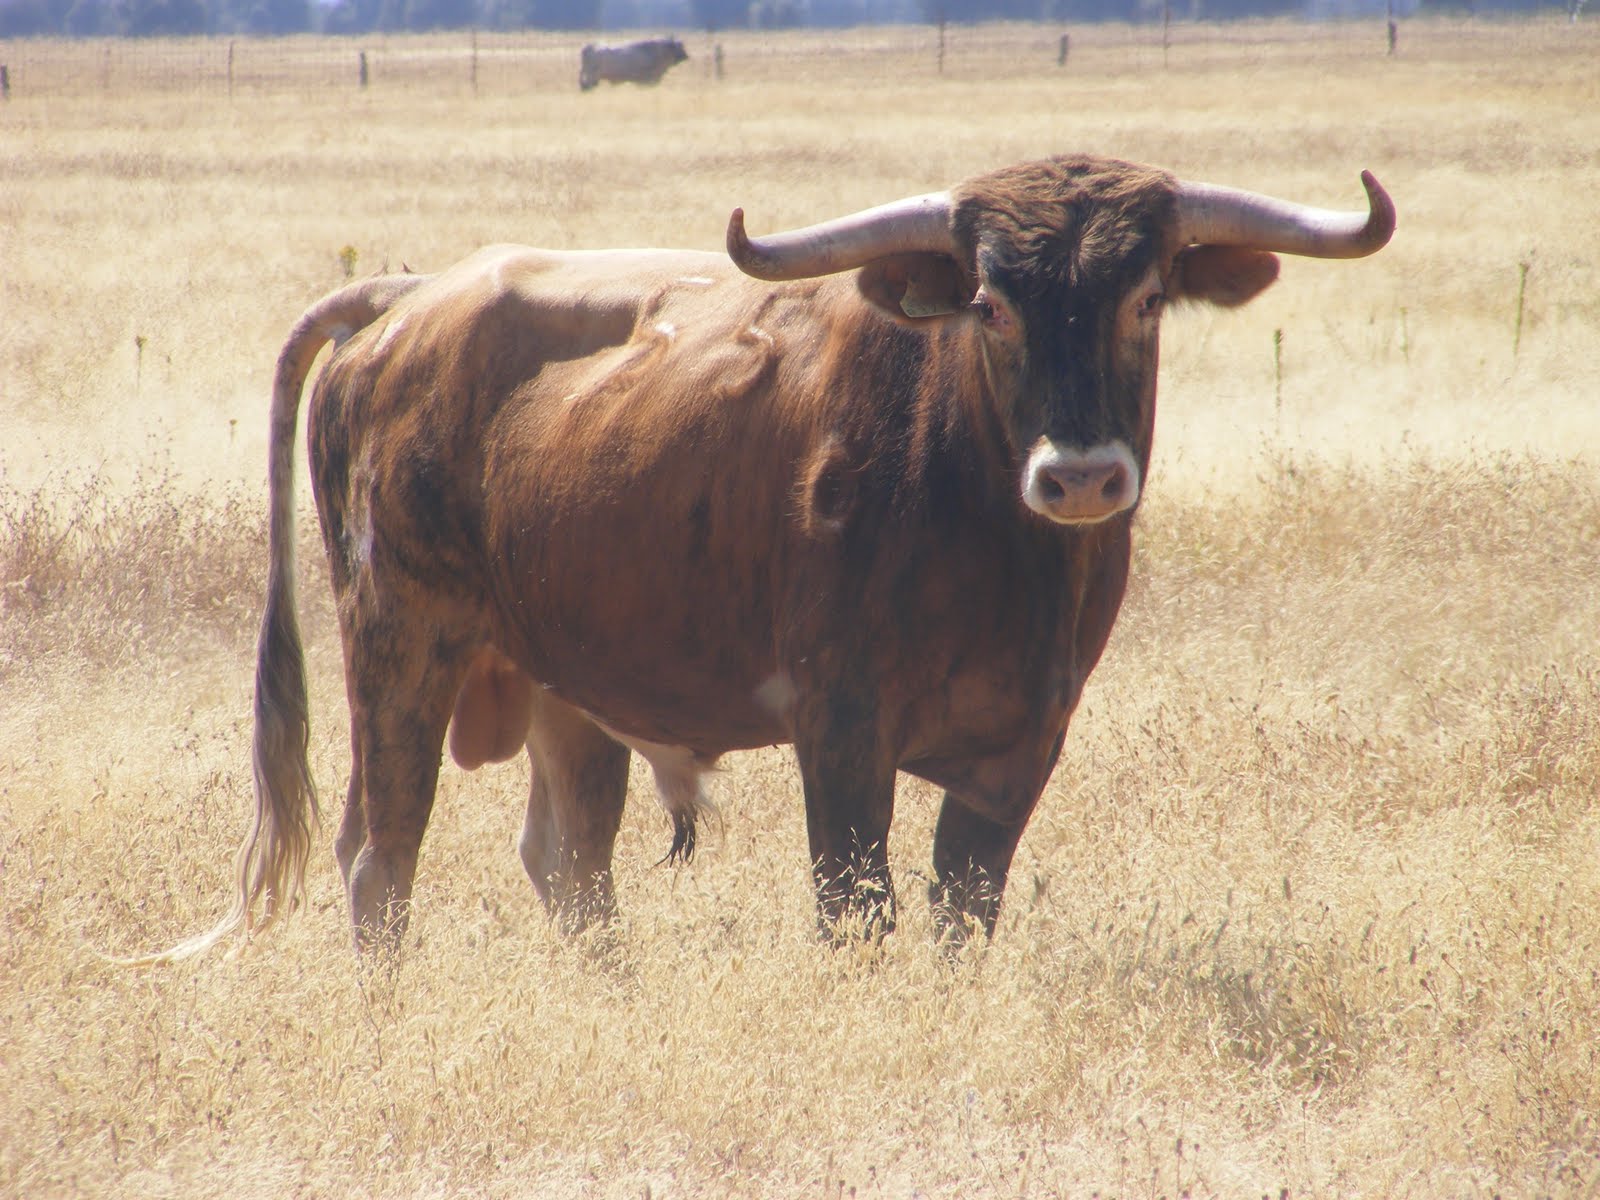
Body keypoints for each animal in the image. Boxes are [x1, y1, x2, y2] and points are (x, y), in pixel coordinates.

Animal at [174, 154, 1393, 963]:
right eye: (991, 304)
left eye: (1144, 299)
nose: (1081, 476)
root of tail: (406, 300)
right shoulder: (840, 728)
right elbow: (855, 909)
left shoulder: (1023, 745)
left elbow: (963, 913)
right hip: (399, 647)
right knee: (382, 857)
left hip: (567, 683)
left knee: (569, 861)